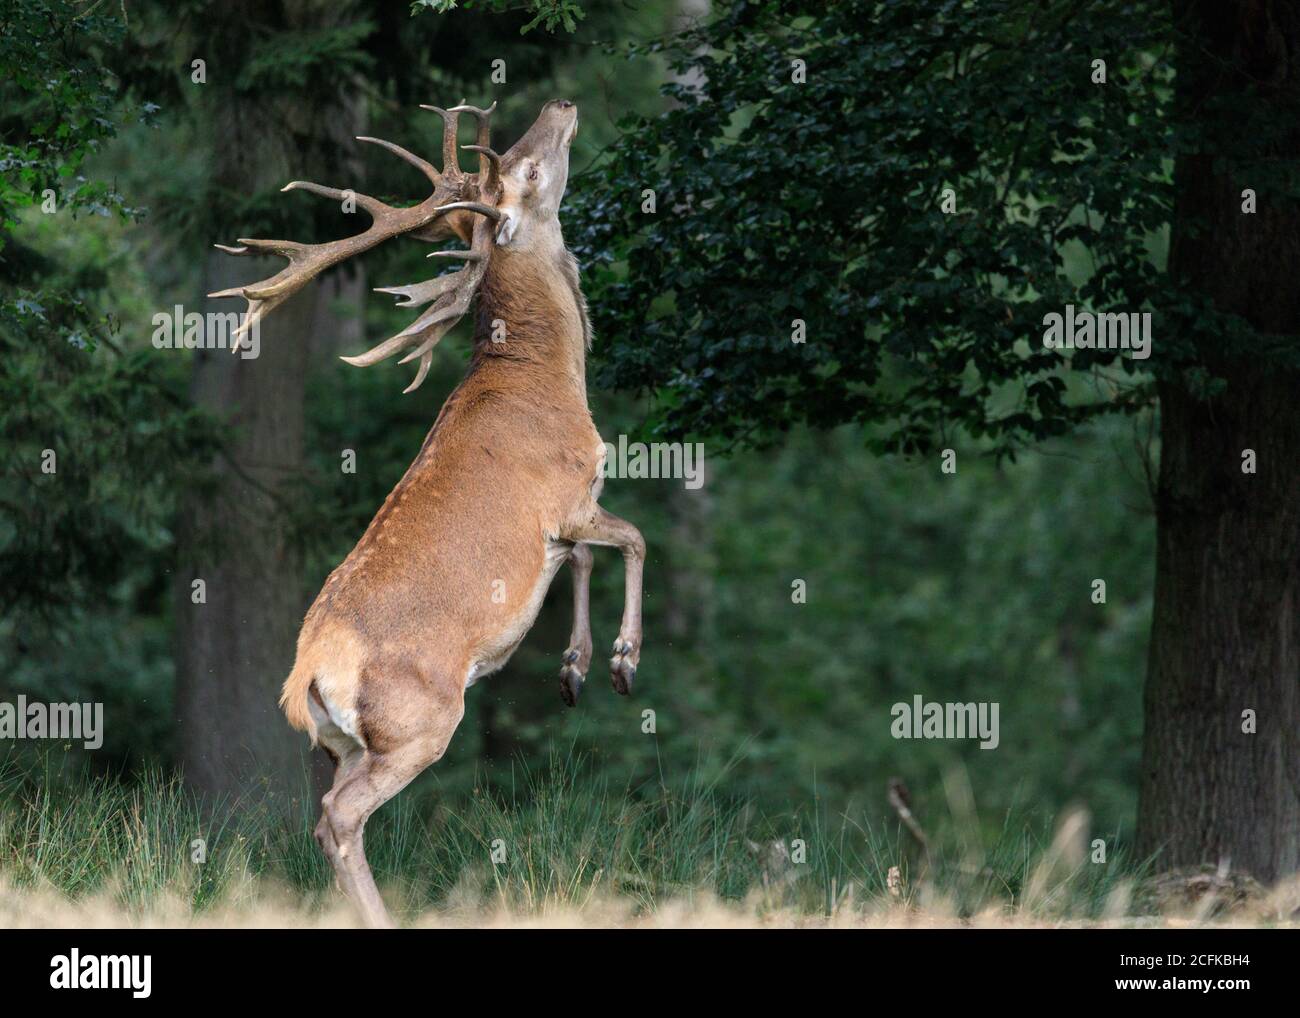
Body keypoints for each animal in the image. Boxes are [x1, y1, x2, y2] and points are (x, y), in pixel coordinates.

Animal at [210, 99, 645, 928]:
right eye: (530, 168)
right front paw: (621, 661)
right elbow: (633, 539)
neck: (548, 379)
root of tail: (306, 677)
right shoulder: (570, 495)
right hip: (420, 720)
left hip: (344, 742)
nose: (562, 106)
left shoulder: (563, 524)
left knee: (329, 812)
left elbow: (583, 557)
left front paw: (573, 668)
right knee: (340, 818)